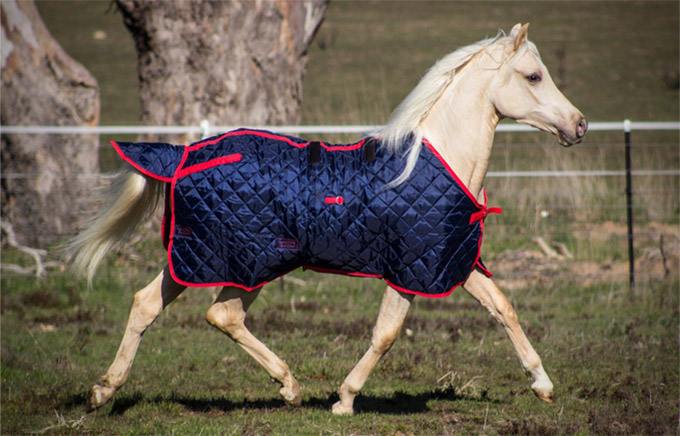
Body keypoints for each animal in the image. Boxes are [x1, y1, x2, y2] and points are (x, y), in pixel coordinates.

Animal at [67, 23, 587, 415]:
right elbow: (387, 334)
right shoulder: (408, 268)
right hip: (250, 262)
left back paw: (102, 391)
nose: (578, 125)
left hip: (198, 257)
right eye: (533, 76)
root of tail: (184, 157)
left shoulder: (449, 261)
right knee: (222, 314)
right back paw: (289, 386)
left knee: (145, 304)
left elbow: (503, 308)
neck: (433, 161)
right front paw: (344, 400)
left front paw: (542, 384)